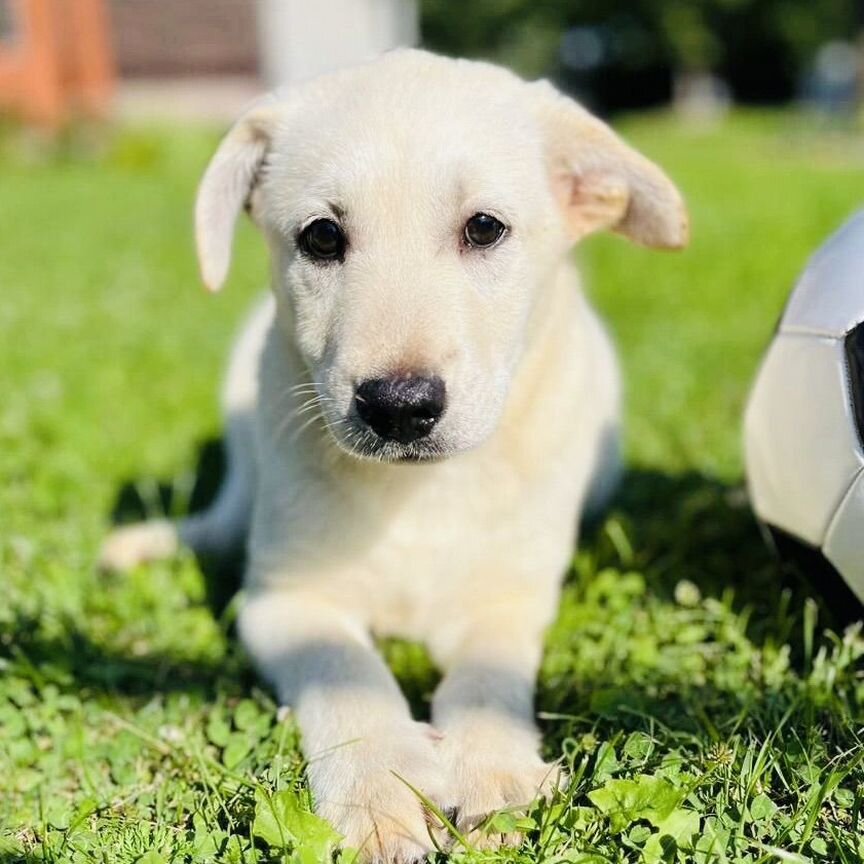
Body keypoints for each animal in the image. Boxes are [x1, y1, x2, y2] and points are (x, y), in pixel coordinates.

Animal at [101, 49, 684, 864]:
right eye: (320, 237)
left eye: (484, 228)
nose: (399, 407)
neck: (422, 493)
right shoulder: (287, 600)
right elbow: (347, 673)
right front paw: (380, 793)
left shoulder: (510, 597)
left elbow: (485, 676)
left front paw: (494, 773)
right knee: (223, 516)